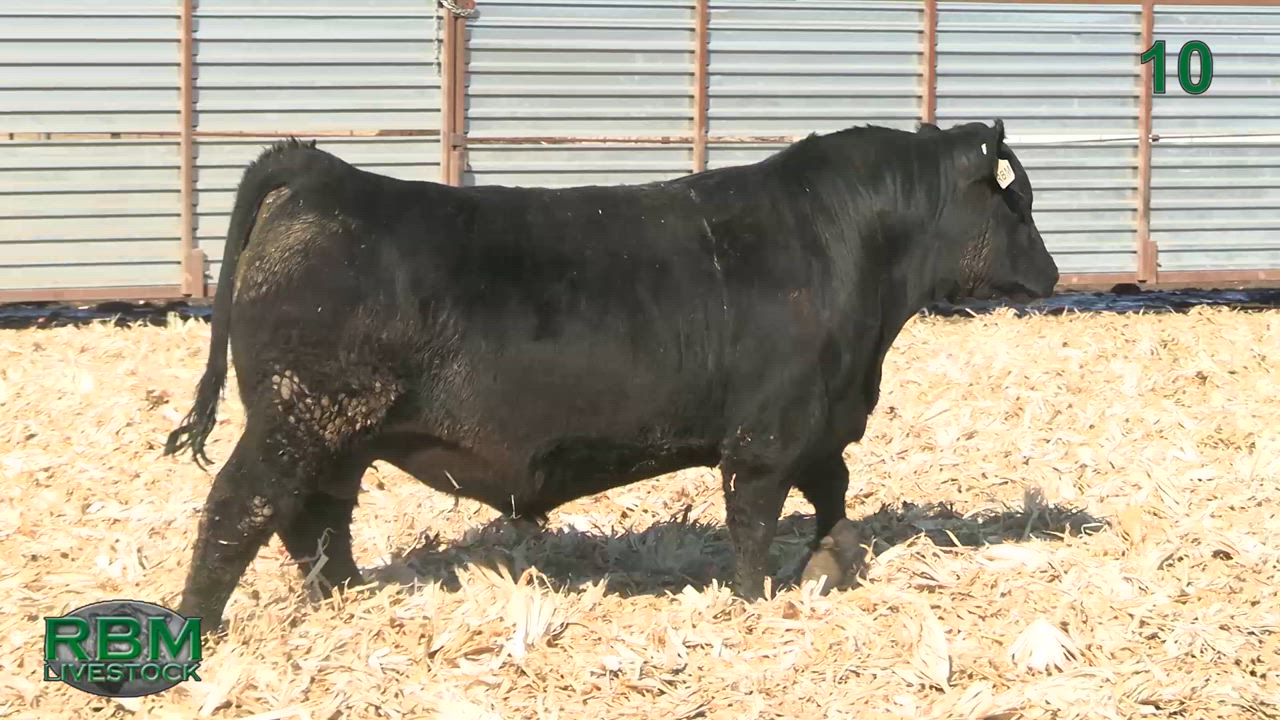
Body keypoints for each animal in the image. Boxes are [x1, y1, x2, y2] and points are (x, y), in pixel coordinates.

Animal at [163, 119, 1059, 634]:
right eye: (1015, 202)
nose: (1052, 273)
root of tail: (328, 175)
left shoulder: (821, 418)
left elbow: (833, 489)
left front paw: (830, 562)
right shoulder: (767, 433)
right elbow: (754, 520)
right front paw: (755, 599)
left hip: (335, 435)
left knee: (316, 517)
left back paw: (347, 597)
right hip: (298, 417)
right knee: (239, 509)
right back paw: (197, 630)